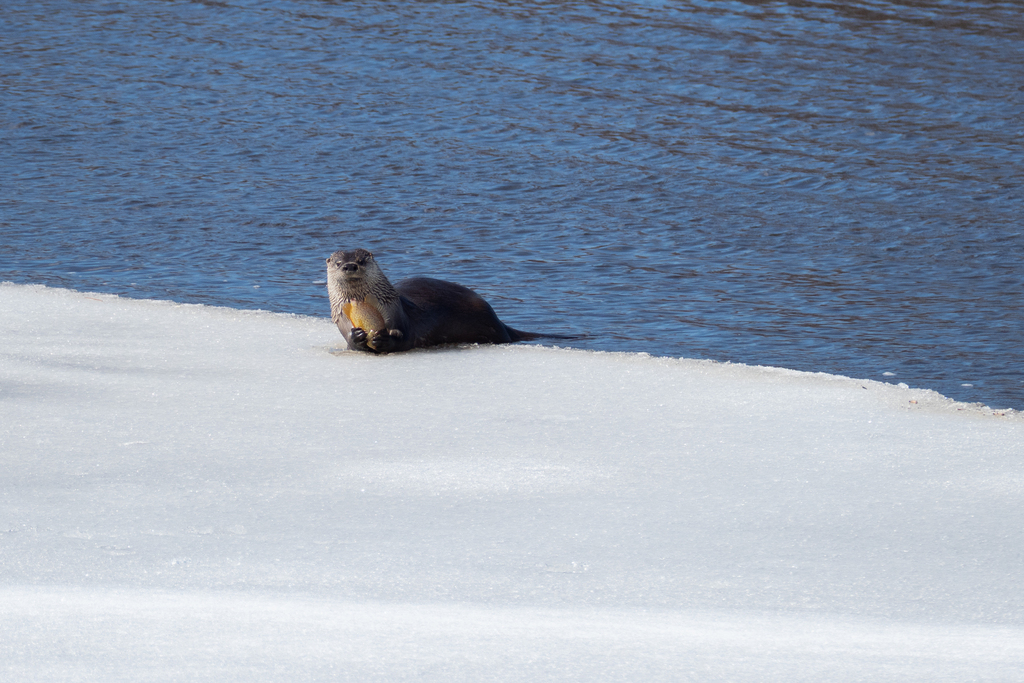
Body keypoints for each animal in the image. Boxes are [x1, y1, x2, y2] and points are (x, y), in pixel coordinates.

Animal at [326, 248, 567, 353]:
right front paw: (357, 337)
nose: (349, 266)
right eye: (338, 263)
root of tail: (499, 321)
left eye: (361, 260)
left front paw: (386, 338)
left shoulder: (395, 310)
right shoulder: (340, 318)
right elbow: (351, 343)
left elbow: (404, 337)